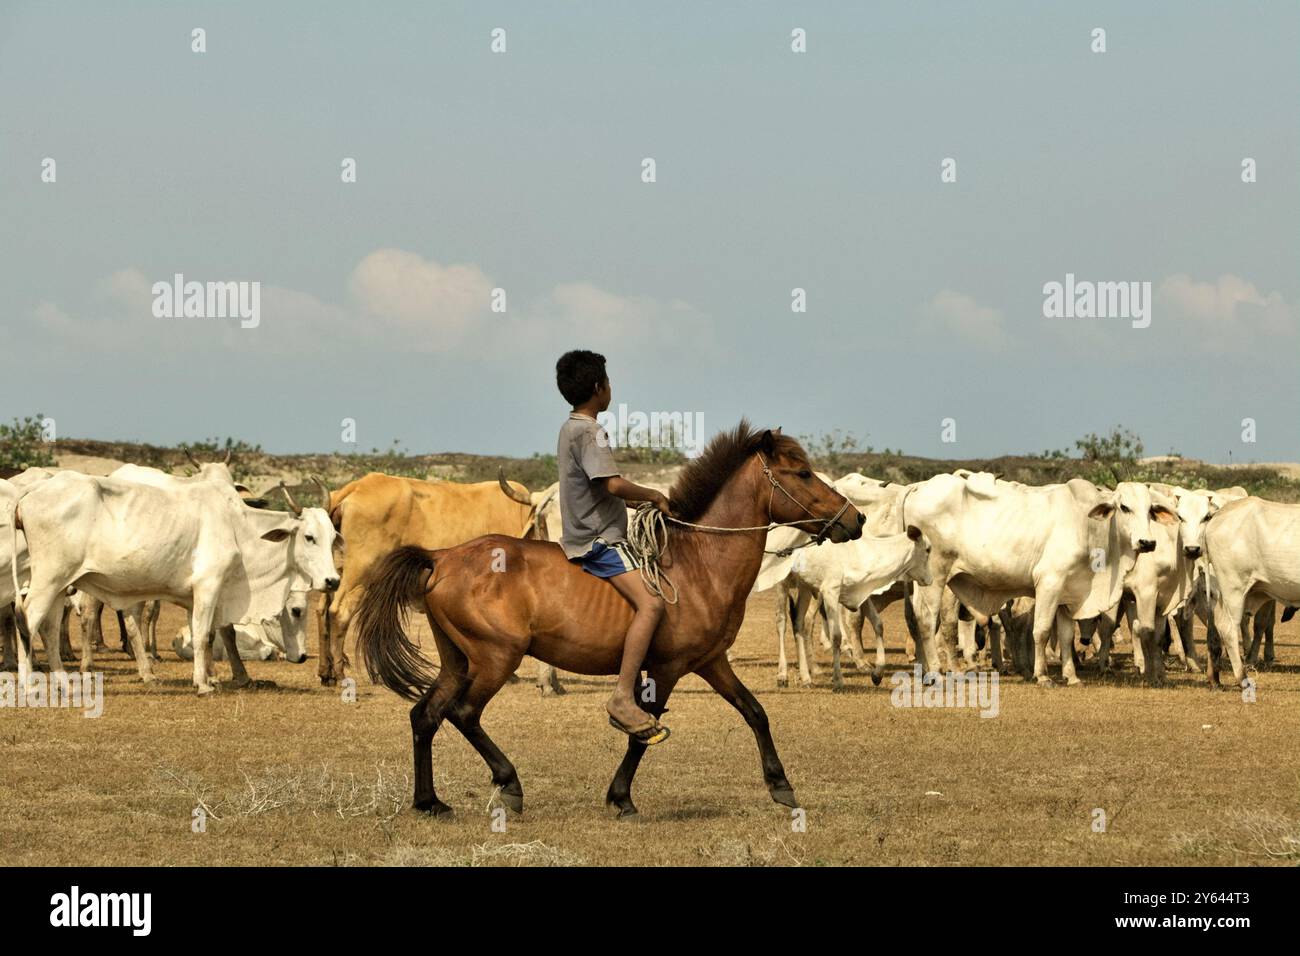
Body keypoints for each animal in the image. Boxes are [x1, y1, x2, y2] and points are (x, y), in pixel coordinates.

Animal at [10, 471, 338, 694]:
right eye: (309, 537)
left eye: (334, 536)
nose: (332, 580)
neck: (237, 527)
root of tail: (30, 493)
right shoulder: (209, 586)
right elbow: (203, 634)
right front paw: (204, 684)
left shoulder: (199, 596)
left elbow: (209, 636)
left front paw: (211, 677)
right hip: (49, 579)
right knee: (27, 618)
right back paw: (28, 684)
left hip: (60, 583)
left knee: (49, 627)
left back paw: (63, 682)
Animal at [351, 421, 865, 819]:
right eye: (803, 473)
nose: (856, 519)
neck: (701, 561)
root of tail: (442, 557)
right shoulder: (666, 668)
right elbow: (643, 732)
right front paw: (621, 797)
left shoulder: (711, 662)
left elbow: (755, 712)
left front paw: (781, 786)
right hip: (495, 658)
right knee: (462, 713)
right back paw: (509, 783)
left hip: (457, 660)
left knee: (426, 715)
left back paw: (429, 802)